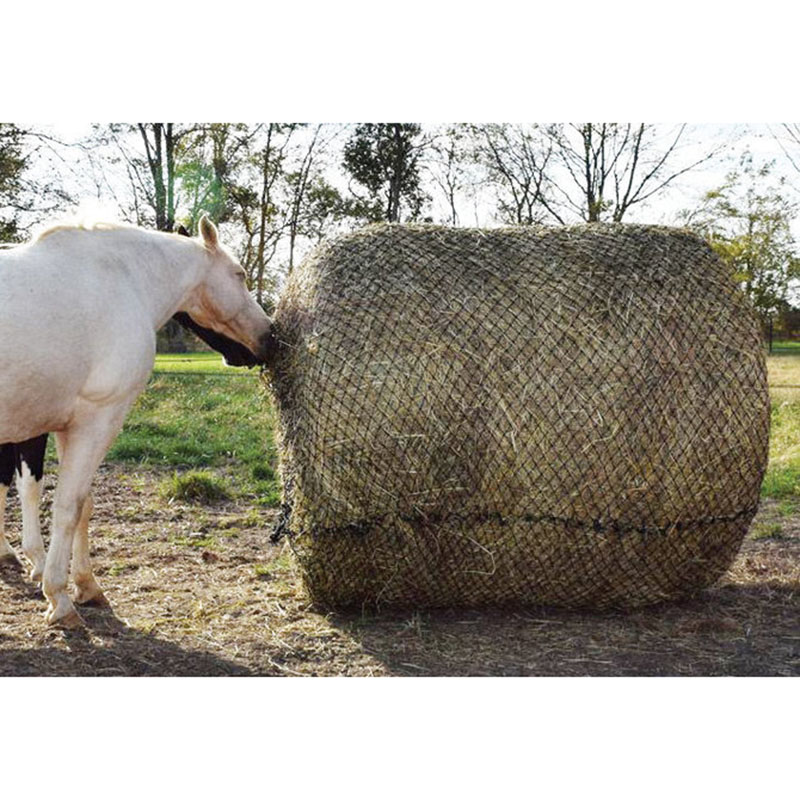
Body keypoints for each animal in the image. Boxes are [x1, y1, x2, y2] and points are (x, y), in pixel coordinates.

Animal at [0, 215, 274, 627]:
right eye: (239, 274)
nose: (270, 336)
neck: (123, 278)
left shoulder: (69, 426)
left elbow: (82, 505)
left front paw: (86, 585)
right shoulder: (97, 419)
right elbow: (67, 506)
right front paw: (59, 597)